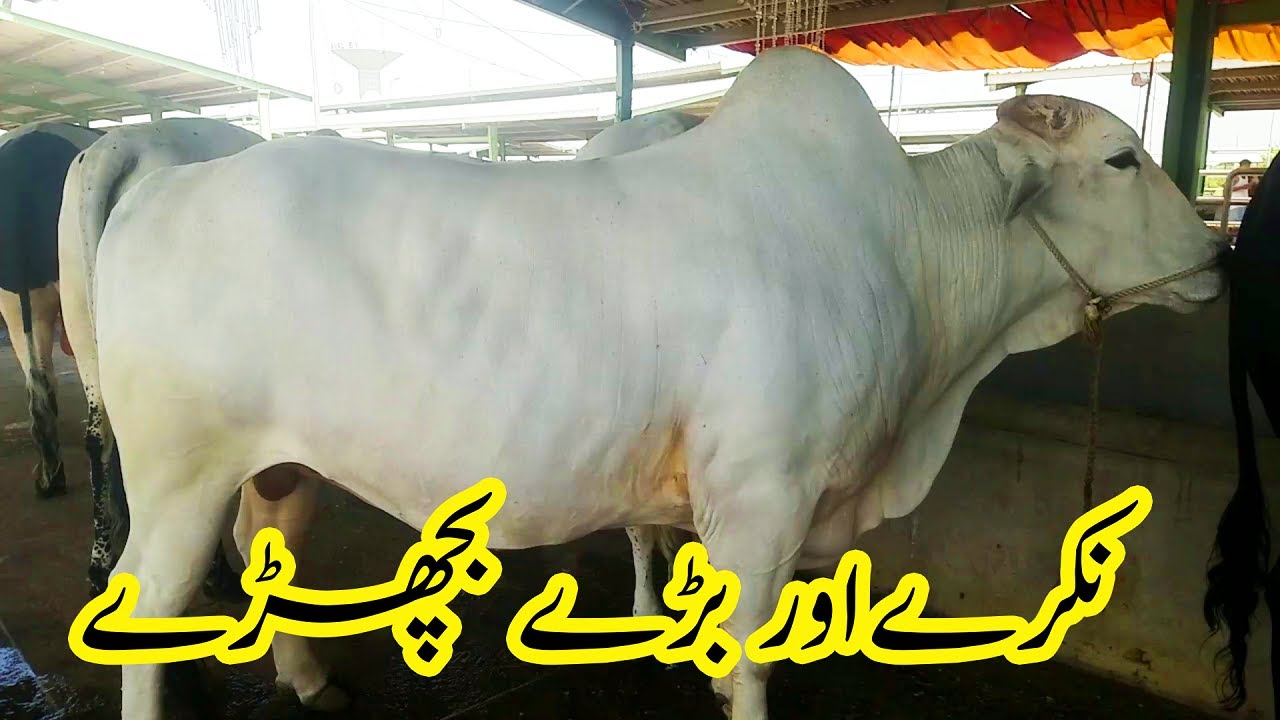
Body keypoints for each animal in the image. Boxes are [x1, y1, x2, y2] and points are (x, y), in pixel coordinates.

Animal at [90, 47, 1225, 720]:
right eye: (1121, 160)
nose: (1218, 256)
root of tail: (165, 167)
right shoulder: (764, 500)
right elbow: (753, 662)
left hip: (276, 466)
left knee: (260, 551)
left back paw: (309, 675)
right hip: (178, 478)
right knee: (145, 607)